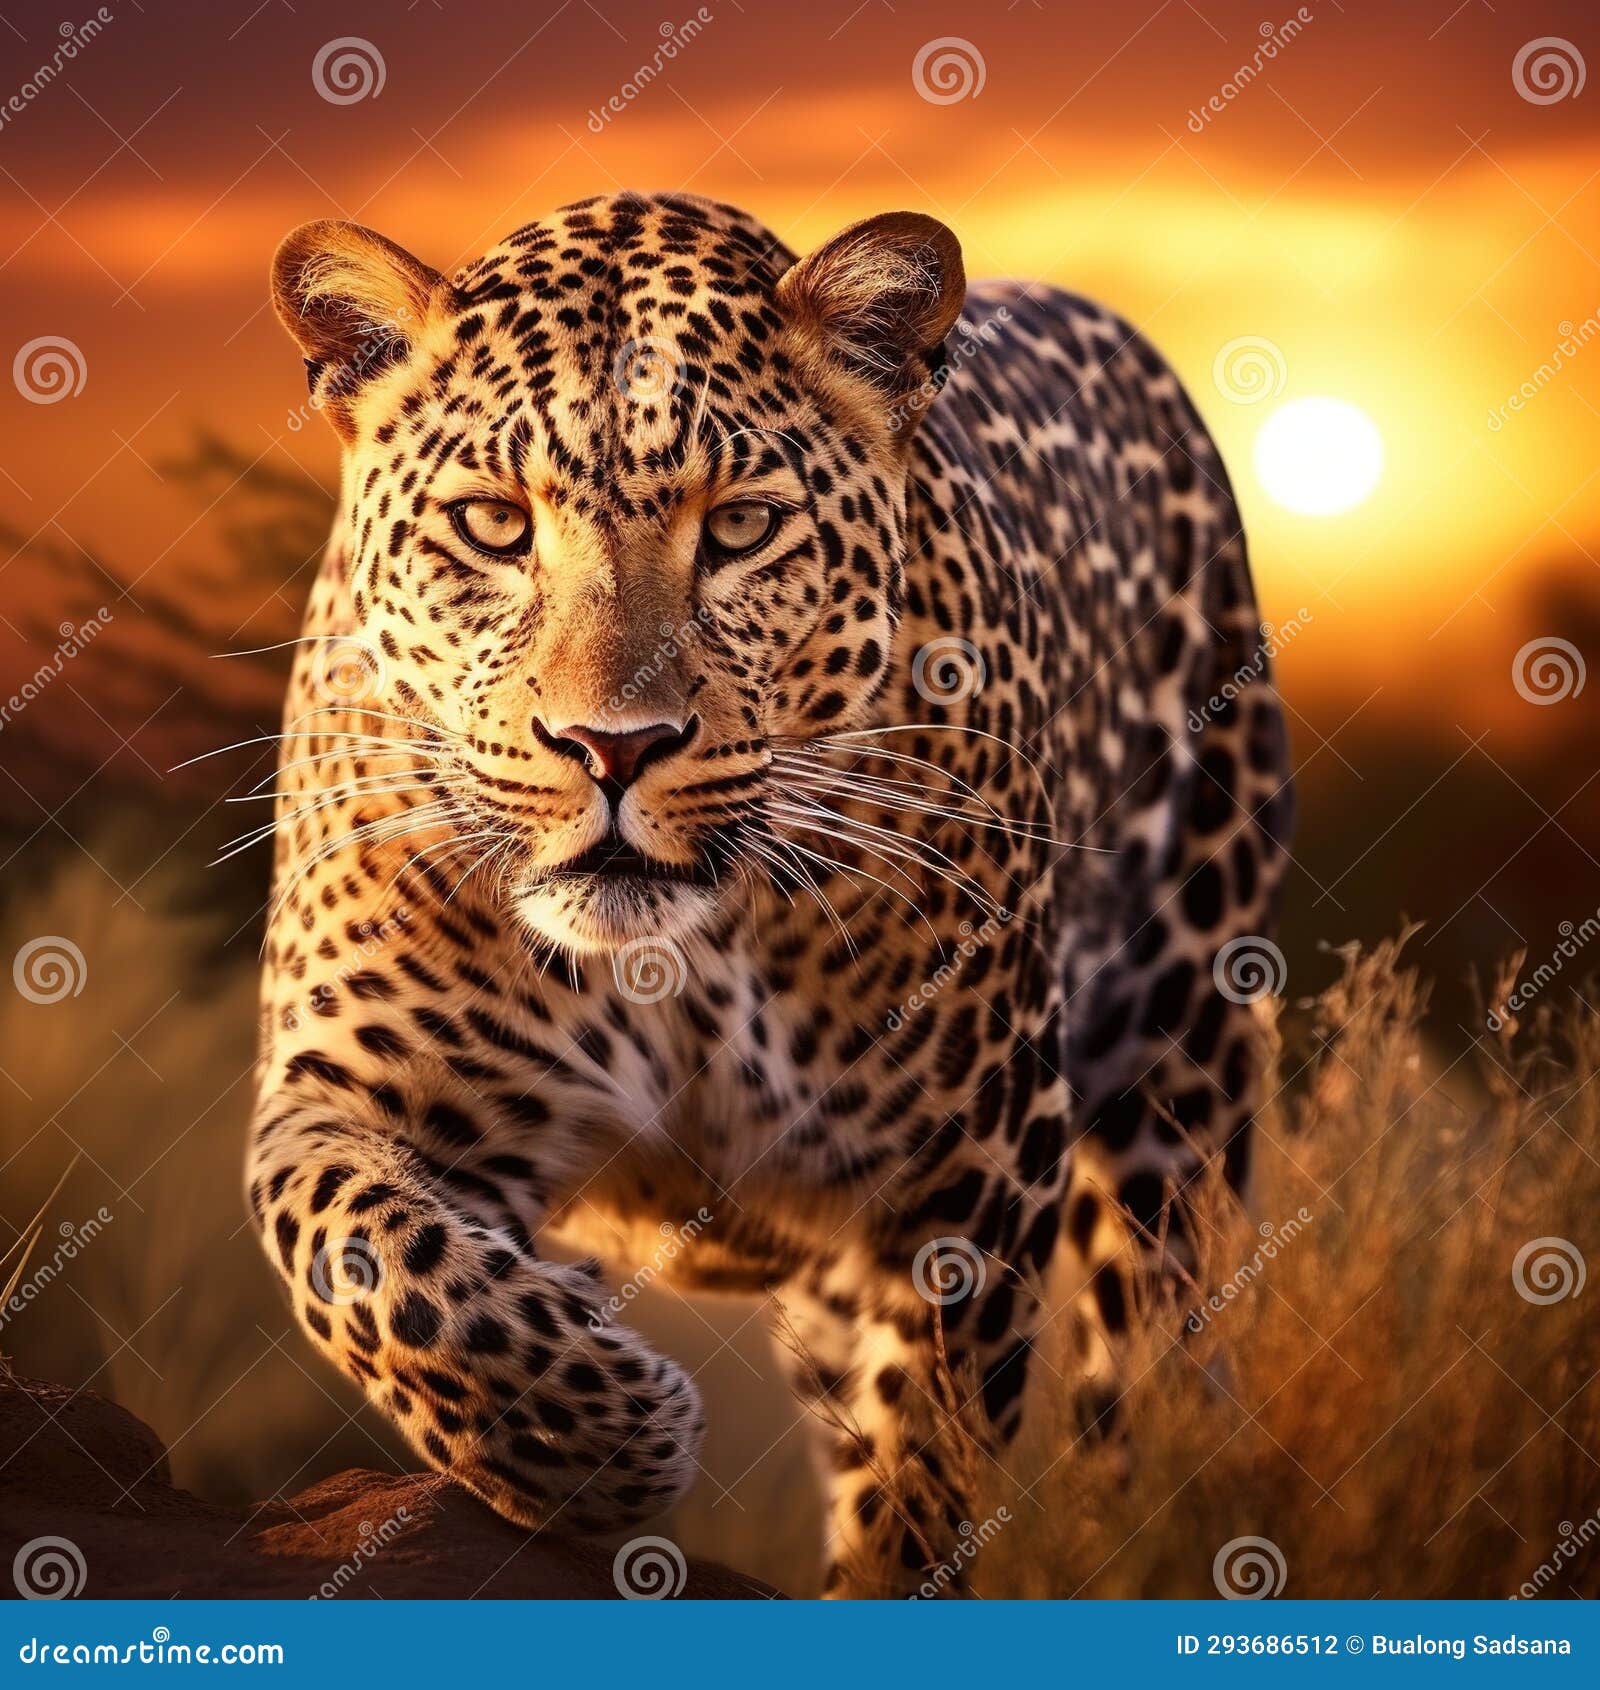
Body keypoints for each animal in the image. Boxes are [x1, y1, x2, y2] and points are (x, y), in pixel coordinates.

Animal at [246, 190, 1293, 1598]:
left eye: (740, 527)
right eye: (494, 526)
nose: (613, 746)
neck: (675, 959)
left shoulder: (968, 1166)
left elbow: (925, 1464)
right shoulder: (345, 1095)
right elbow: (376, 1264)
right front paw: (599, 1440)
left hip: (1187, 1047)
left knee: (1157, 1353)